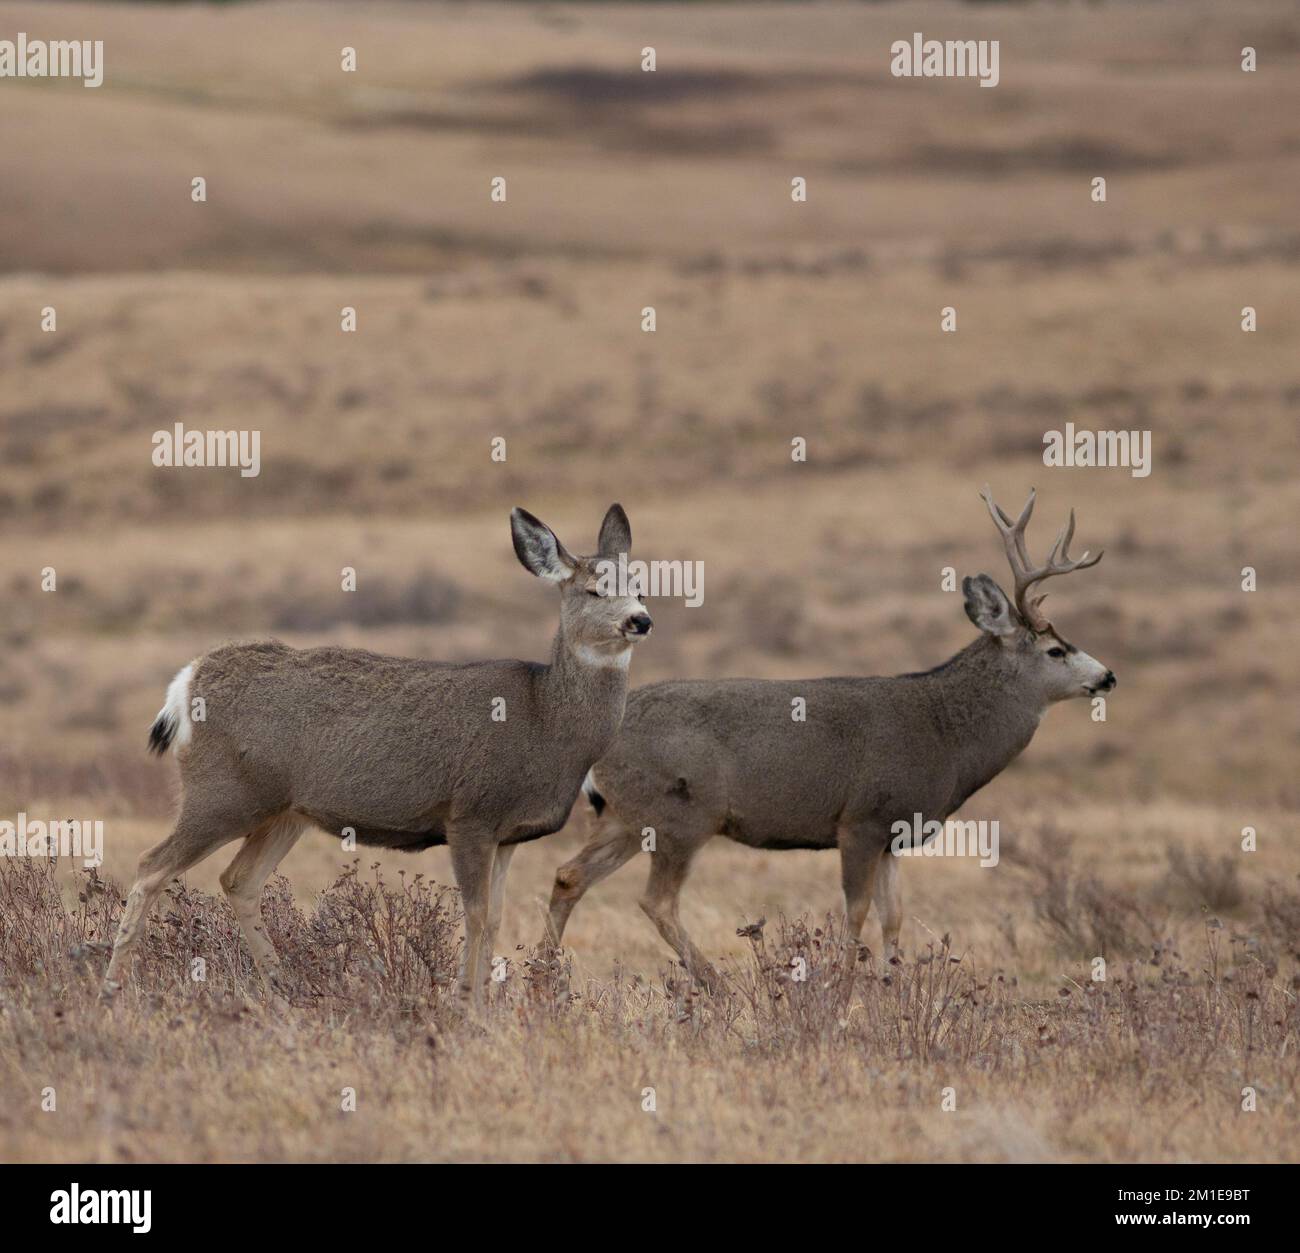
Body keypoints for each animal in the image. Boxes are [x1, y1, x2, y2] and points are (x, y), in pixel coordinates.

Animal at [101, 504, 652, 1009]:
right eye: (593, 590)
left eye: (640, 586)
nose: (640, 620)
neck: (547, 722)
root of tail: (186, 683)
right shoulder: (470, 814)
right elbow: (474, 914)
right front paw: (465, 1007)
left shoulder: (508, 834)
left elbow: (494, 916)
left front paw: (481, 1007)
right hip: (222, 793)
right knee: (151, 866)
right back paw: (112, 988)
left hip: (284, 811)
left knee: (239, 881)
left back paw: (287, 991)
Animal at [544, 488, 1115, 989]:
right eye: (1056, 650)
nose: (1108, 677)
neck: (946, 733)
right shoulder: (860, 819)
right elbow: (855, 913)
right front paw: (841, 987)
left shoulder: (894, 831)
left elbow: (893, 915)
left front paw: (891, 987)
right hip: (682, 813)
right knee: (656, 900)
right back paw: (715, 985)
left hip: (625, 815)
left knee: (570, 875)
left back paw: (544, 979)